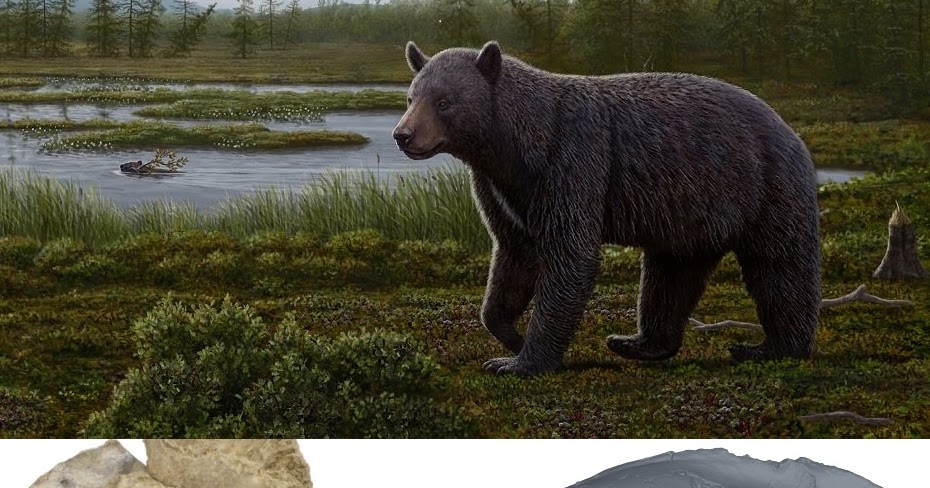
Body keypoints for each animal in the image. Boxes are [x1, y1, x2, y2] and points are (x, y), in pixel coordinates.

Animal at [393, 41, 821, 376]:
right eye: (411, 97)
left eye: (444, 102)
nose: (402, 135)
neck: (515, 147)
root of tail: (789, 129)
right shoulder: (503, 190)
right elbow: (514, 254)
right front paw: (511, 336)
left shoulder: (573, 162)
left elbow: (569, 255)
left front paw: (522, 361)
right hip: (691, 211)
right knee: (671, 275)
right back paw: (638, 343)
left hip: (768, 189)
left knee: (780, 267)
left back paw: (772, 348)